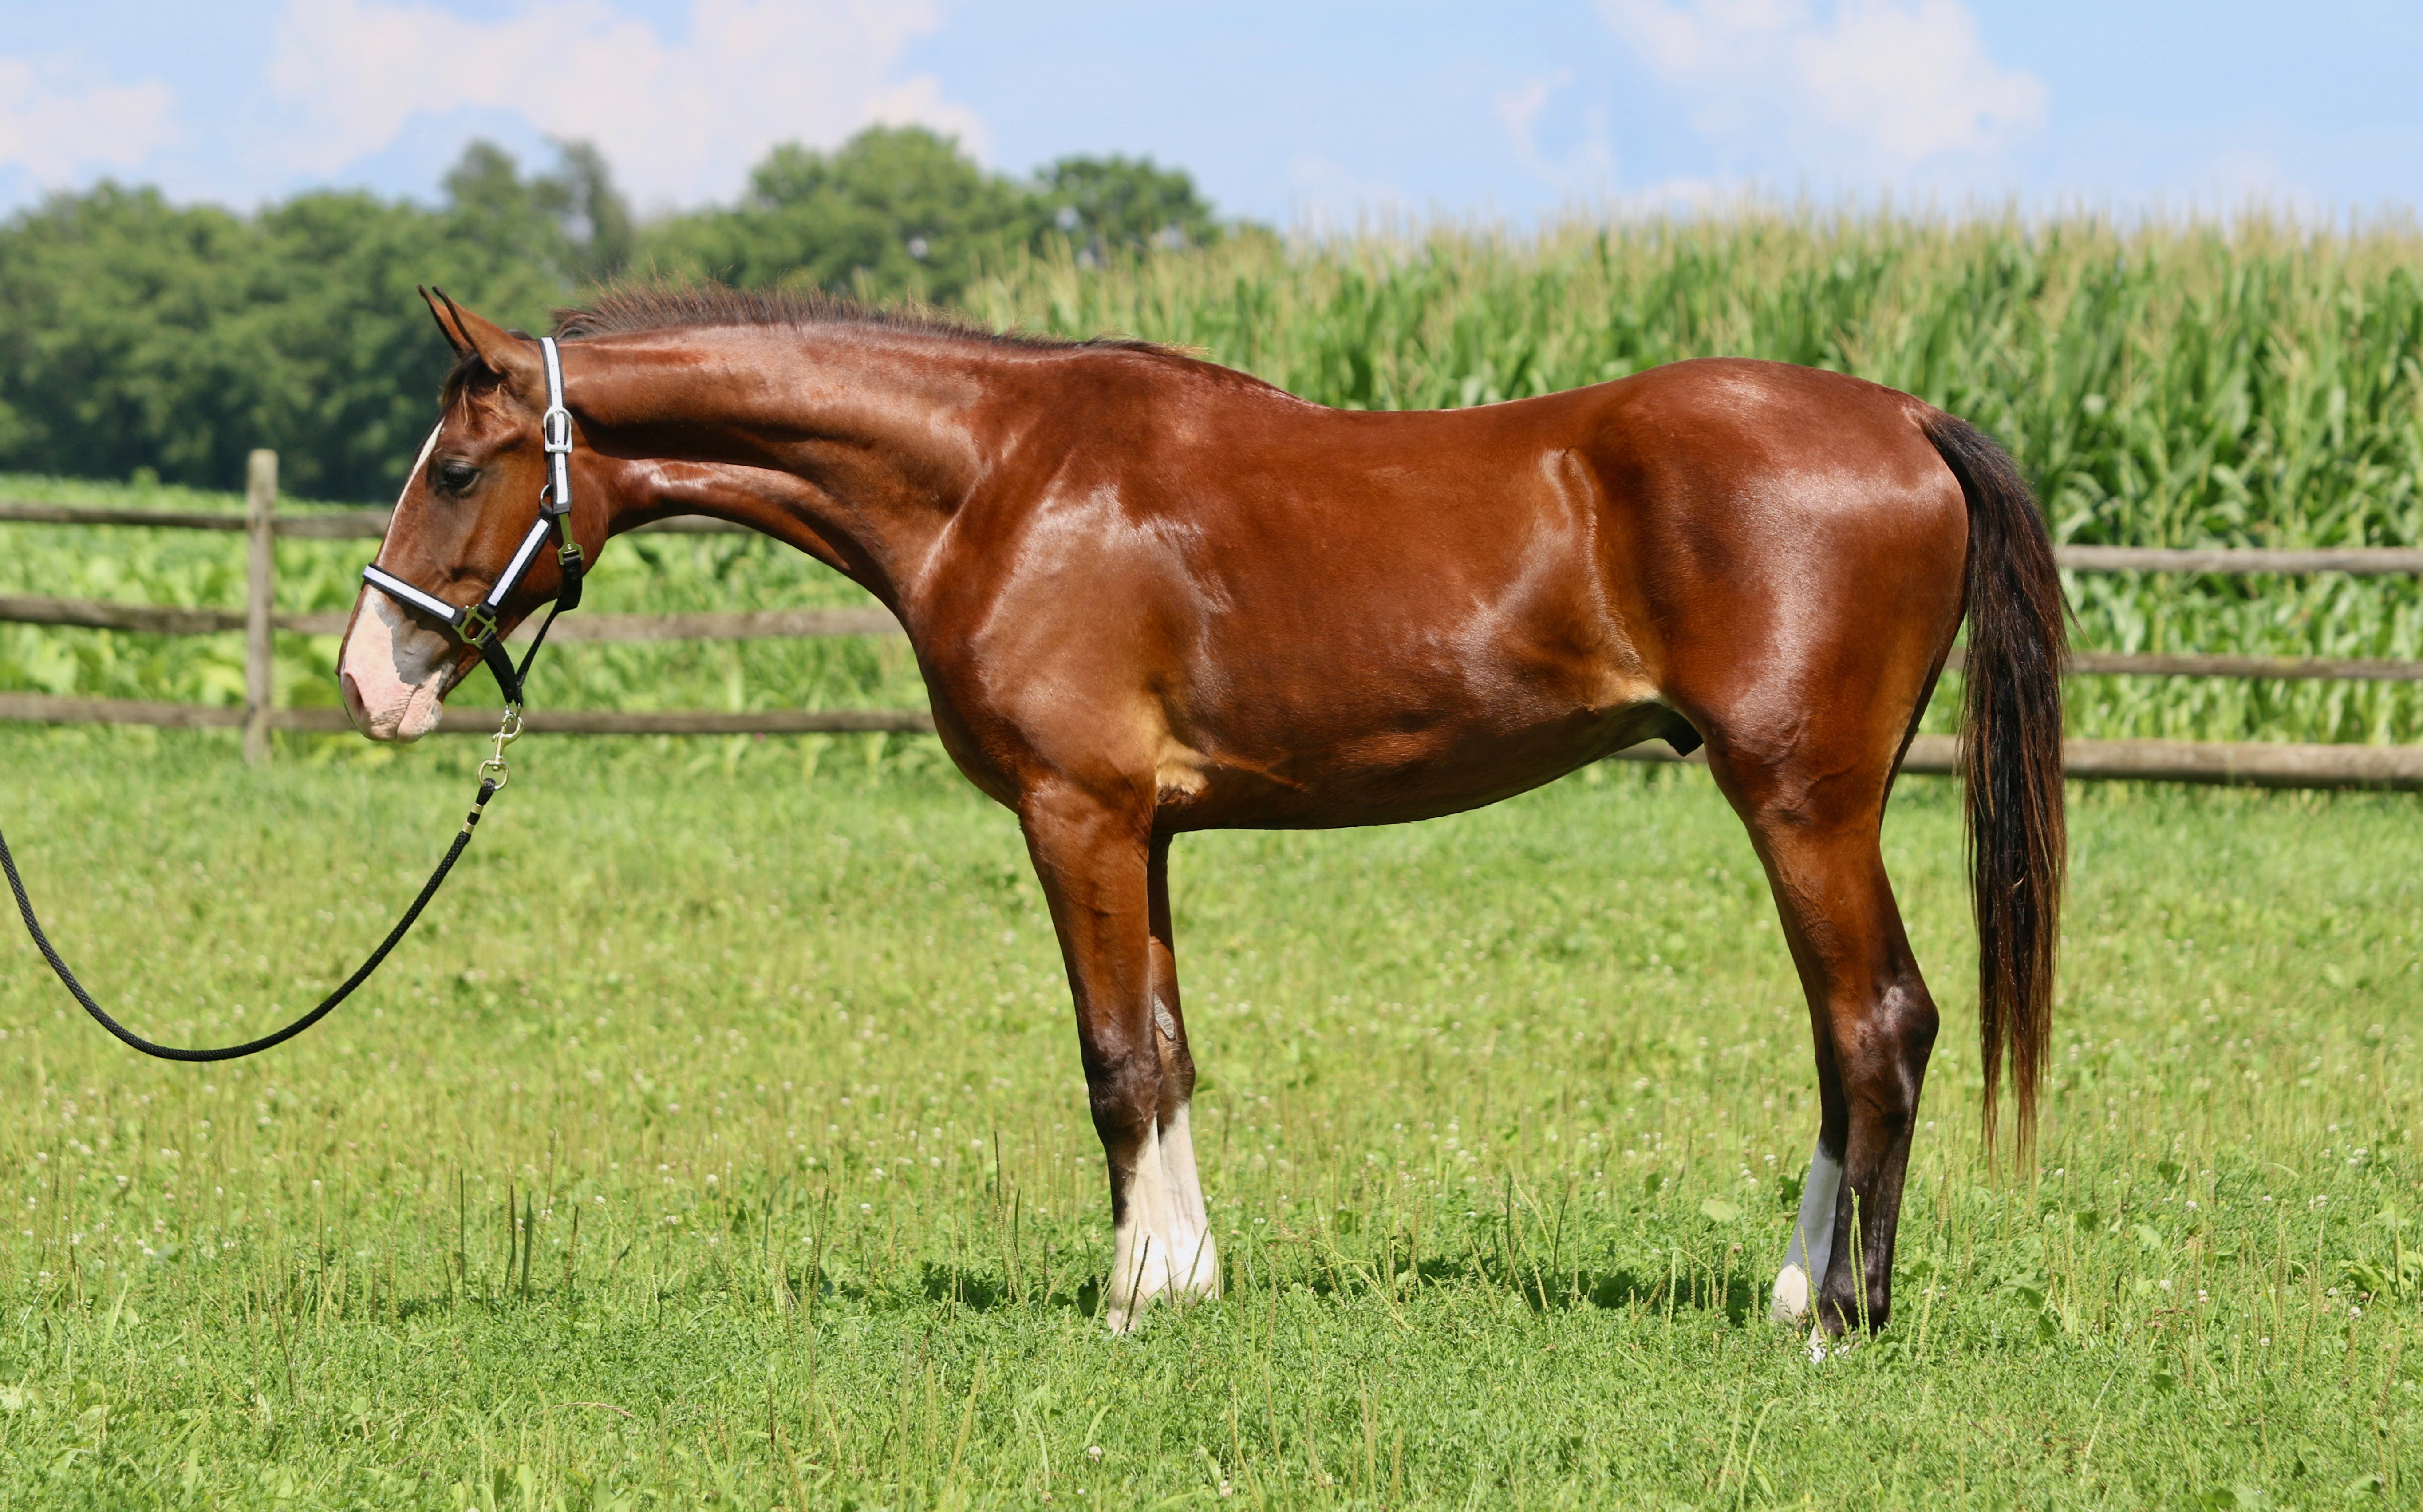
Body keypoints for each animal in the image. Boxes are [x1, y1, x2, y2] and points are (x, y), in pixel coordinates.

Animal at [339, 284, 2065, 1336]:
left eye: (455, 468)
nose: (368, 676)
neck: (1001, 477)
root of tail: (1904, 421)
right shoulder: (1145, 830)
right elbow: (1165, 1051)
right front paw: (1184, 1277)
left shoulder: (1076, 814)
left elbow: (1111, 1061)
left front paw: (1123, 1298)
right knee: (1843, 1038)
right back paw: (1790, 1288)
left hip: (1801, 801)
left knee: (1879, 1021)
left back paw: (1839, 1318)